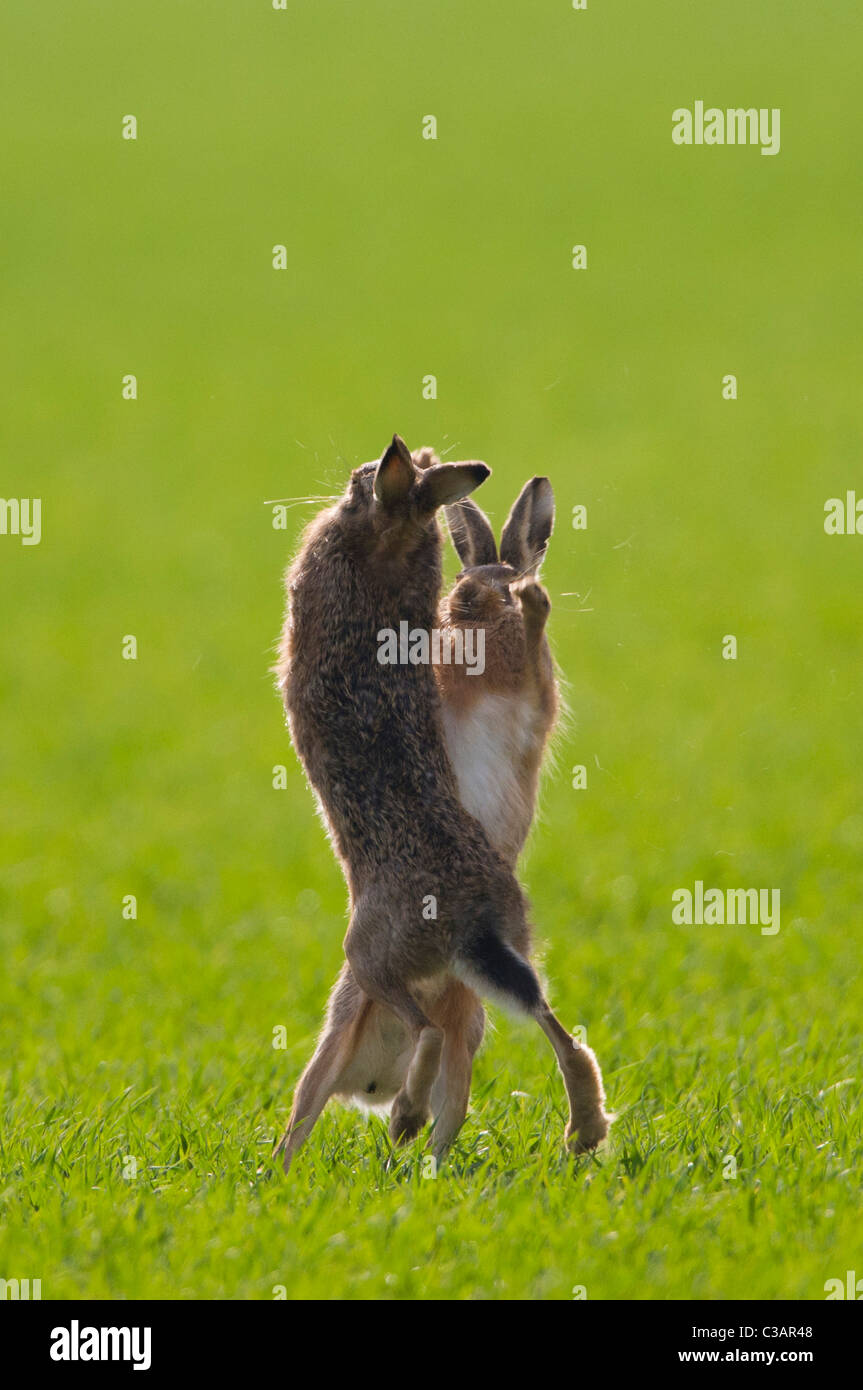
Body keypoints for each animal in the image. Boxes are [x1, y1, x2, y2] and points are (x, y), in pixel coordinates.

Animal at [272, 435, 609, 1170]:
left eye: (358, 481)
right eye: (463, 583)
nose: (482, 599)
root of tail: (468, 927)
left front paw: (531, 605)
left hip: (370, 960)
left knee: (417, 1037)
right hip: (474, 996)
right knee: (544, 1036)